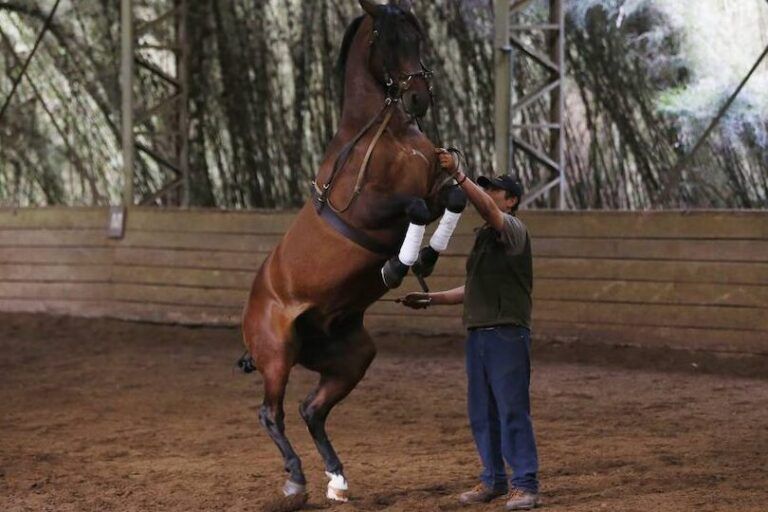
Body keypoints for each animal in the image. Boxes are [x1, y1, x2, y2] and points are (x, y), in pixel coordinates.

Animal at [240, 0, 466, 504]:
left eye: (417, 36)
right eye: (387, 39)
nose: (418, 99)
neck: (387, 133)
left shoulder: (436, 186)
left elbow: (454, 198)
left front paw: (424, 259)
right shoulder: (369, 209)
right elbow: (415, 208)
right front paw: (397, 266)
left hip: (351, 358)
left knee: (311, 410)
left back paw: (337, 480)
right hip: (277, 356)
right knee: (271, 413)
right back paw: (295, 479)